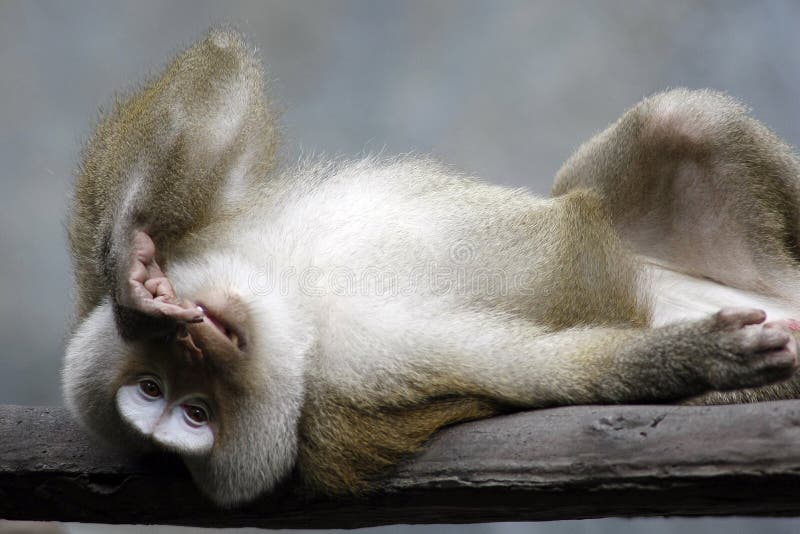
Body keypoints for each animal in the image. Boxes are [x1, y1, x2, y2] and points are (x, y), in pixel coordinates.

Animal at [62, 28, 800, 507]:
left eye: (170, 396)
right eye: (187, 409)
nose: (196, 341)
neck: (297, 308)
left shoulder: (214, 244)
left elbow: (221, 72)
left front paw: (130, 270)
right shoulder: (347, 383)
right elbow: (551, 371)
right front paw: (700, 357)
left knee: (681, 119)